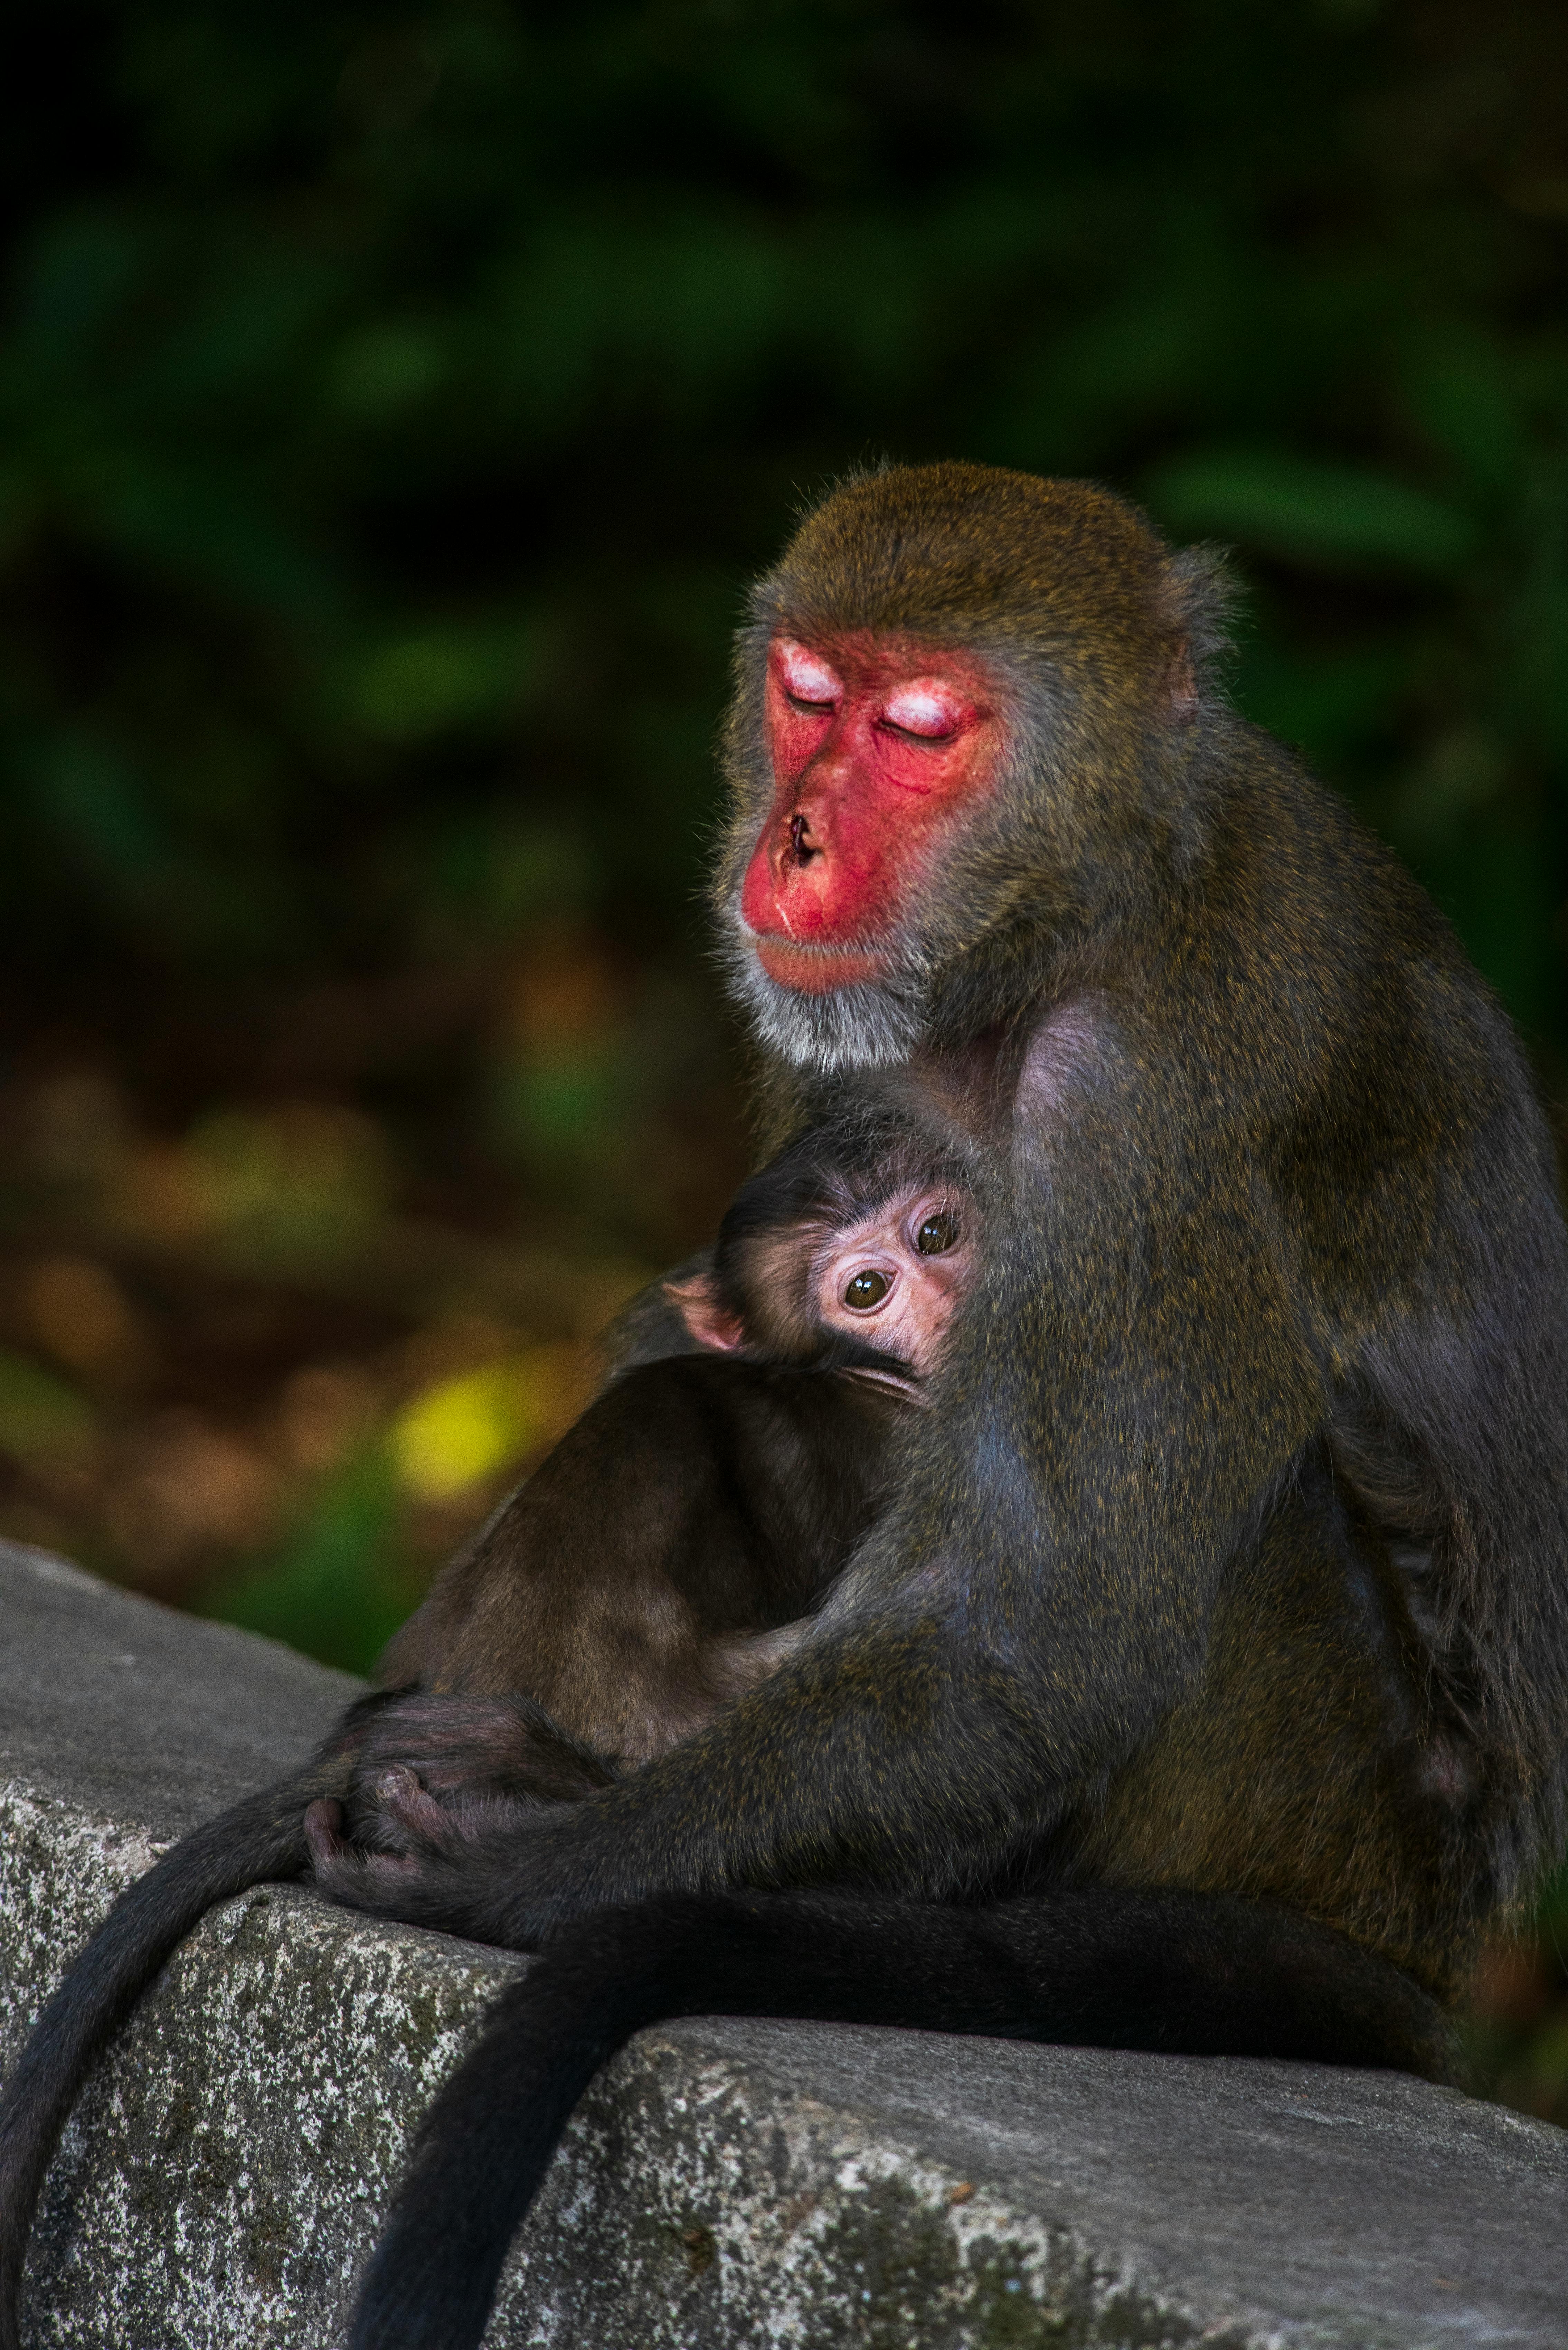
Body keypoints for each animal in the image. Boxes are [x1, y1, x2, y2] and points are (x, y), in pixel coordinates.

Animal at [291, 462, 1566, 2350]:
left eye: (916, 729)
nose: (797, 841)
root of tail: (1433, 1932)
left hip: (1315, 1801)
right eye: (806, 695)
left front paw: (535, 1862)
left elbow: (1038, 1642)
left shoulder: (1146, 1109)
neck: (1063, 924)